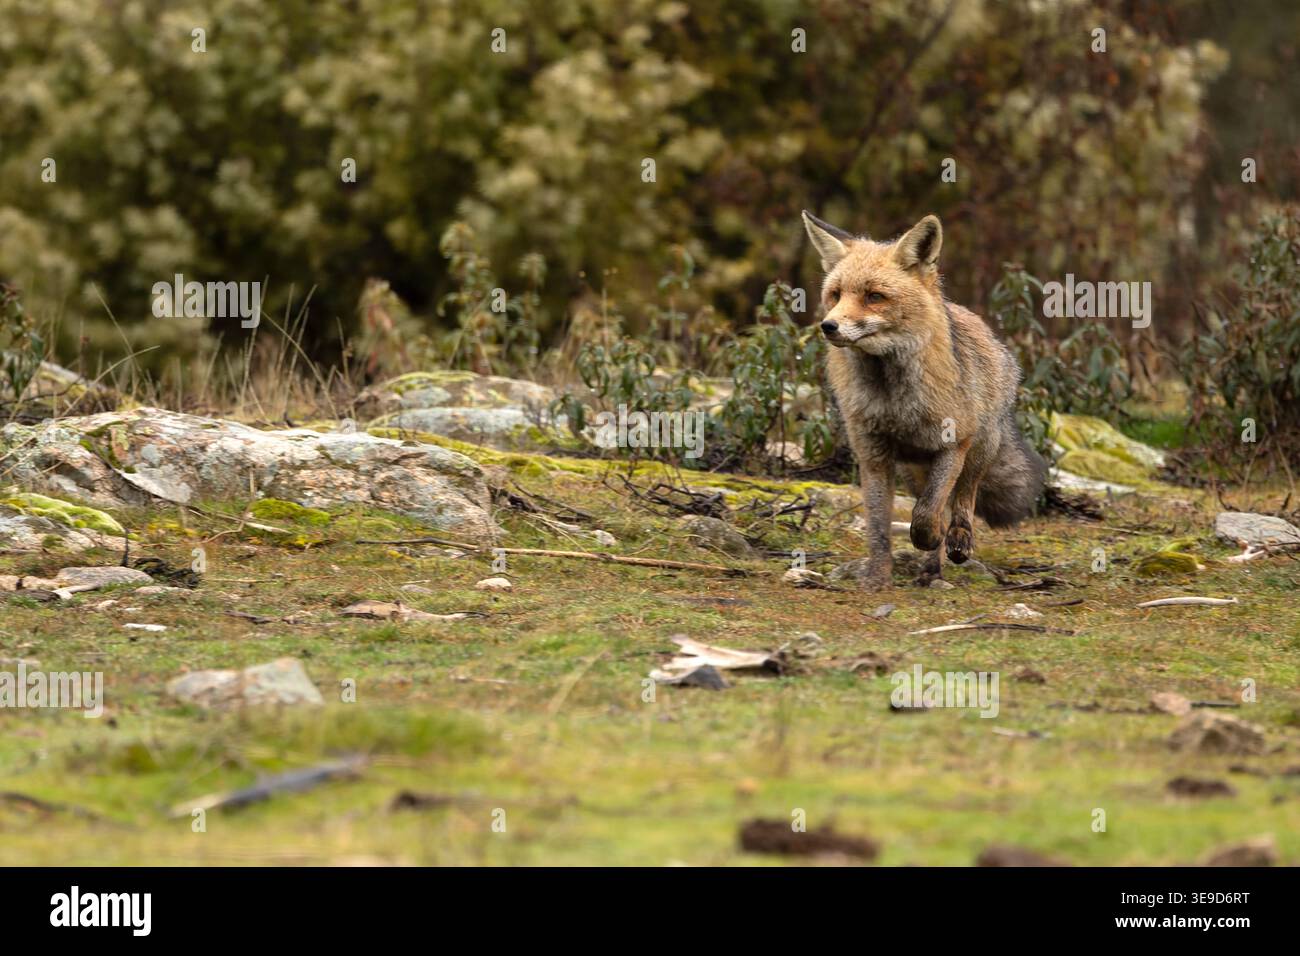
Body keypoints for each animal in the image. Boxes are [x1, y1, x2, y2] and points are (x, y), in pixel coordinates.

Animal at [802, 210, 1047, 589]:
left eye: (874, 296)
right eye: (835, 295)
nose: (828, 326)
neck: (893, 398)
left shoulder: (952, 444)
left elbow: (928, 512)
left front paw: (932, 537)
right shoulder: (873, 456)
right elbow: (879, 527)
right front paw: (877, 577)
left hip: (980, 446)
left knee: (963, 496)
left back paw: (957, 540)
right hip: (912, 469)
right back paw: (931, 569)